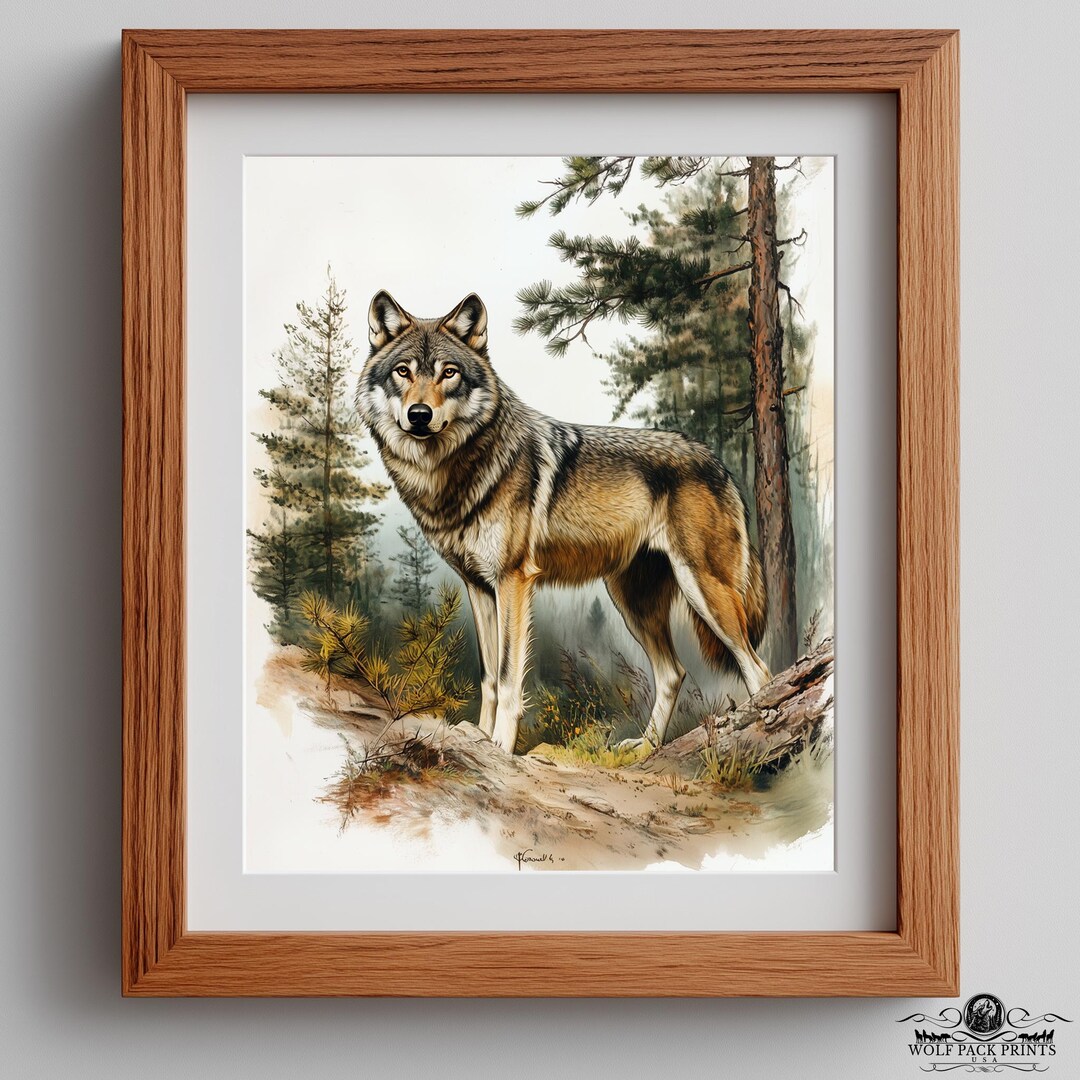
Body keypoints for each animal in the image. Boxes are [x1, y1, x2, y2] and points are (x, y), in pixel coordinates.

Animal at [356, 291, 770, 754]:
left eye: (449, 373)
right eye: (403, 371)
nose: (419, 414)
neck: (456, 471)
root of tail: (717, 463)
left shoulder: (513, 581)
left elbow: (508, 677)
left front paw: (500, 746)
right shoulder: (478, 586)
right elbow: (488, 678)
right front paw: (480, 737)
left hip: (703, 590)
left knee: (758, 668)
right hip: (631, 602)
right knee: (673, 673)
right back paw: (644, 749)